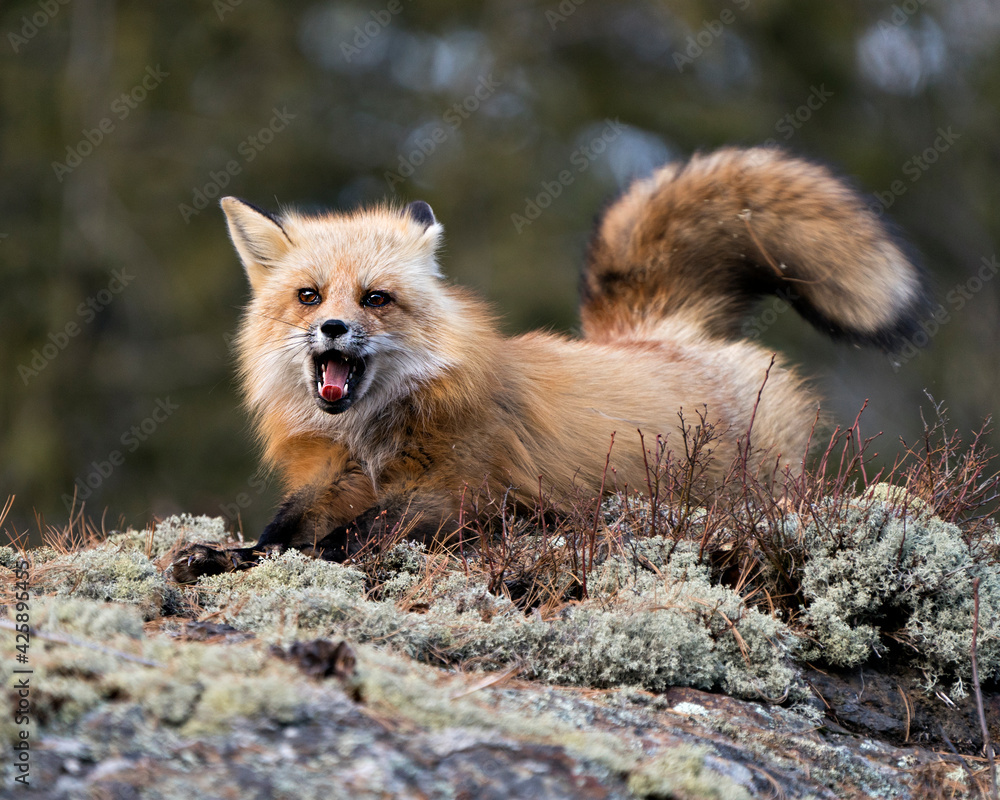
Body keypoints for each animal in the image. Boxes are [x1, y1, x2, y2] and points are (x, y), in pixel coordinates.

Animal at [171, 146, 926, 582]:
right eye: (309, 295)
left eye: (375, 299)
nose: (332, 327)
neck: (371, 439)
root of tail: (660, 331)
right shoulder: (323, 482)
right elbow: (280, 535)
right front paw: (222, 555)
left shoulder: (462, 496)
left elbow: (344, 540)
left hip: (755, 489)